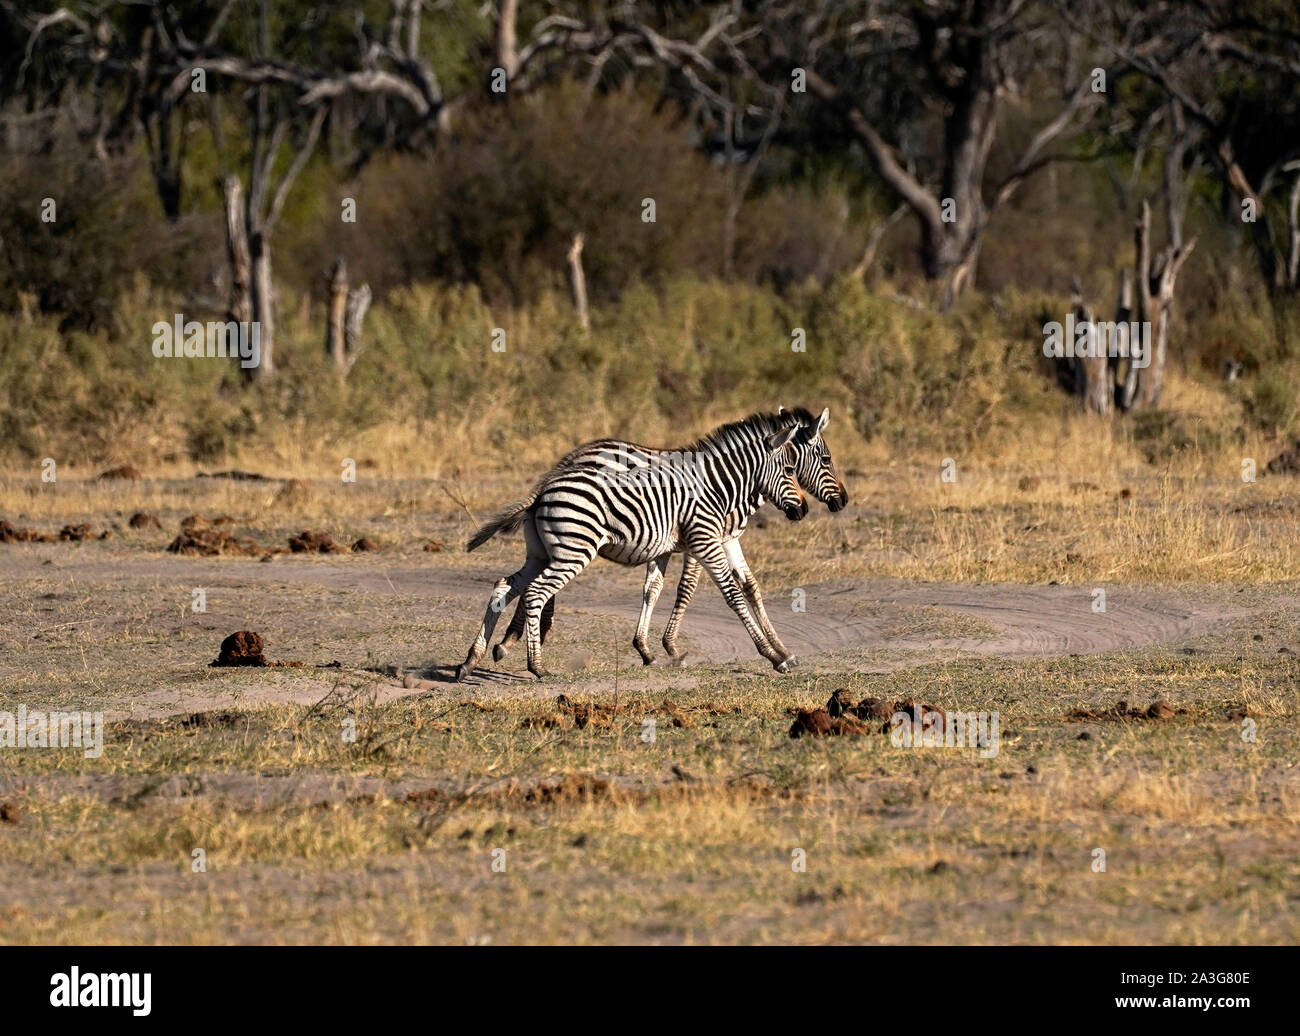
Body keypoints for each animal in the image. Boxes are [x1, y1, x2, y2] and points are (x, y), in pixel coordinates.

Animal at [456, 411, 821, 681]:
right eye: (790, 469)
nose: (803, 511)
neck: (717, 488)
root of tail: (542, 491)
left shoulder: (674, 547)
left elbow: (656, 590)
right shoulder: (704, 540)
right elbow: (732, 595)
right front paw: (774, 656)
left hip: (541, 553)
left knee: (505, 586)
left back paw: (470, 661)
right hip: (574, 551)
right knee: (535, 593)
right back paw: (537, 667)